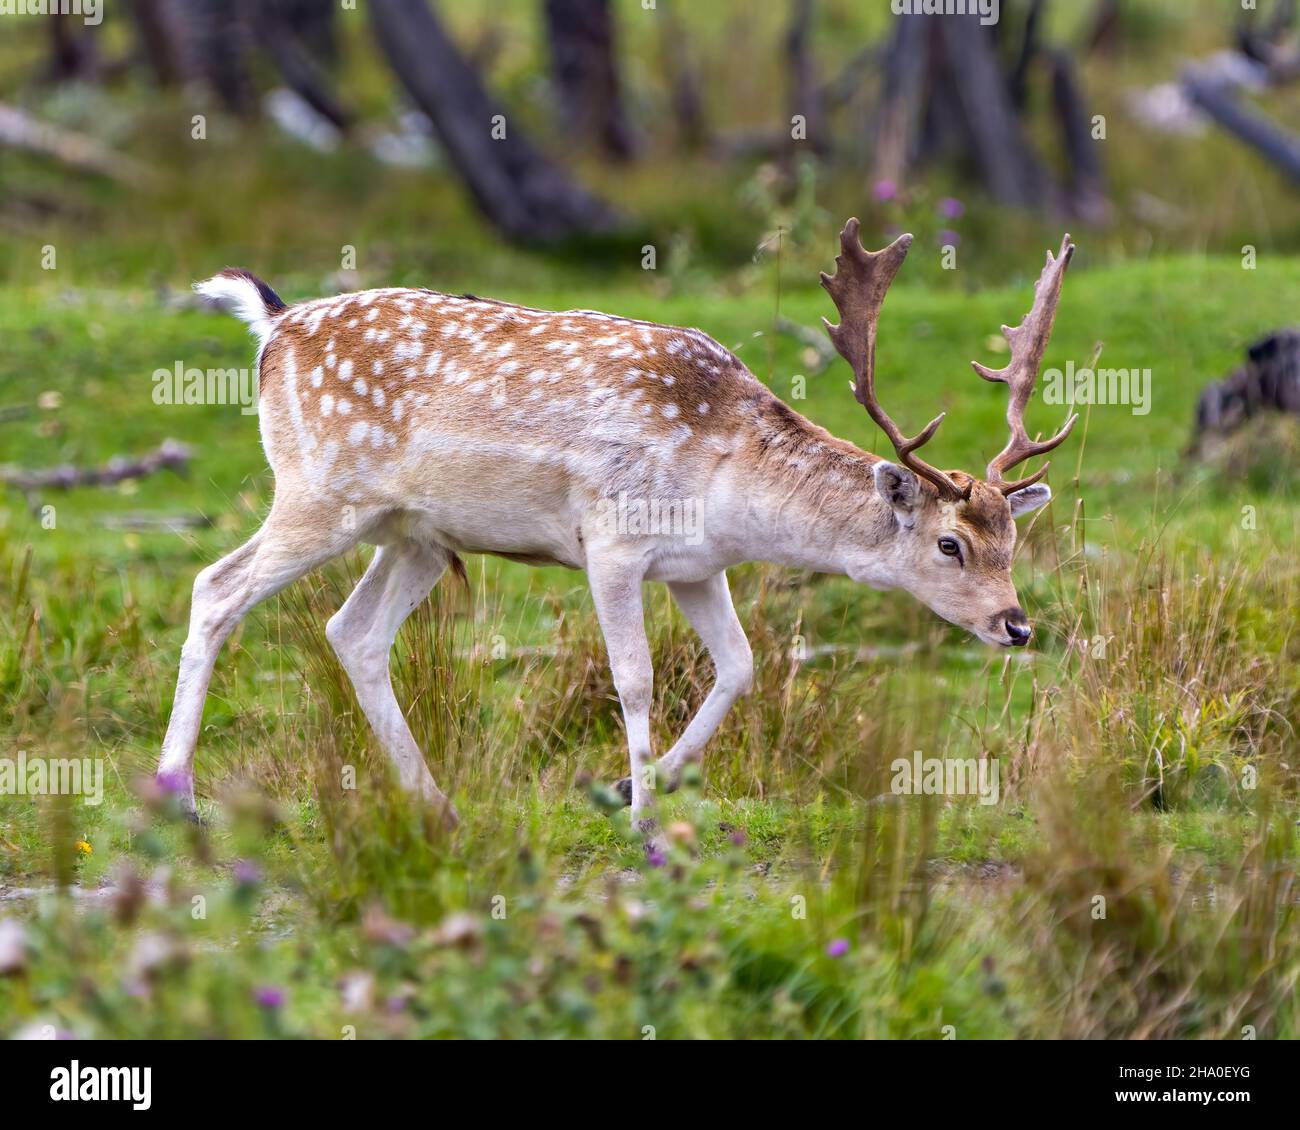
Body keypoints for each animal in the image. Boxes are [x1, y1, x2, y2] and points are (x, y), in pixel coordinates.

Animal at [157, 220, 1076, 845]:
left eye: (1012, 541)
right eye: (950, 544)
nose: (1015, 625)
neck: (724, 475)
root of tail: (274, 324)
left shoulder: (697, 566)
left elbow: (741, 666)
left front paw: (643, 786)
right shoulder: (612, 542)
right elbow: (633, 679)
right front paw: (641, 819)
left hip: (412, 533)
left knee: (352, 632)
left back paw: (438, 806)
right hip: (318, 492)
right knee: (216, 586)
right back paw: (178, 794)